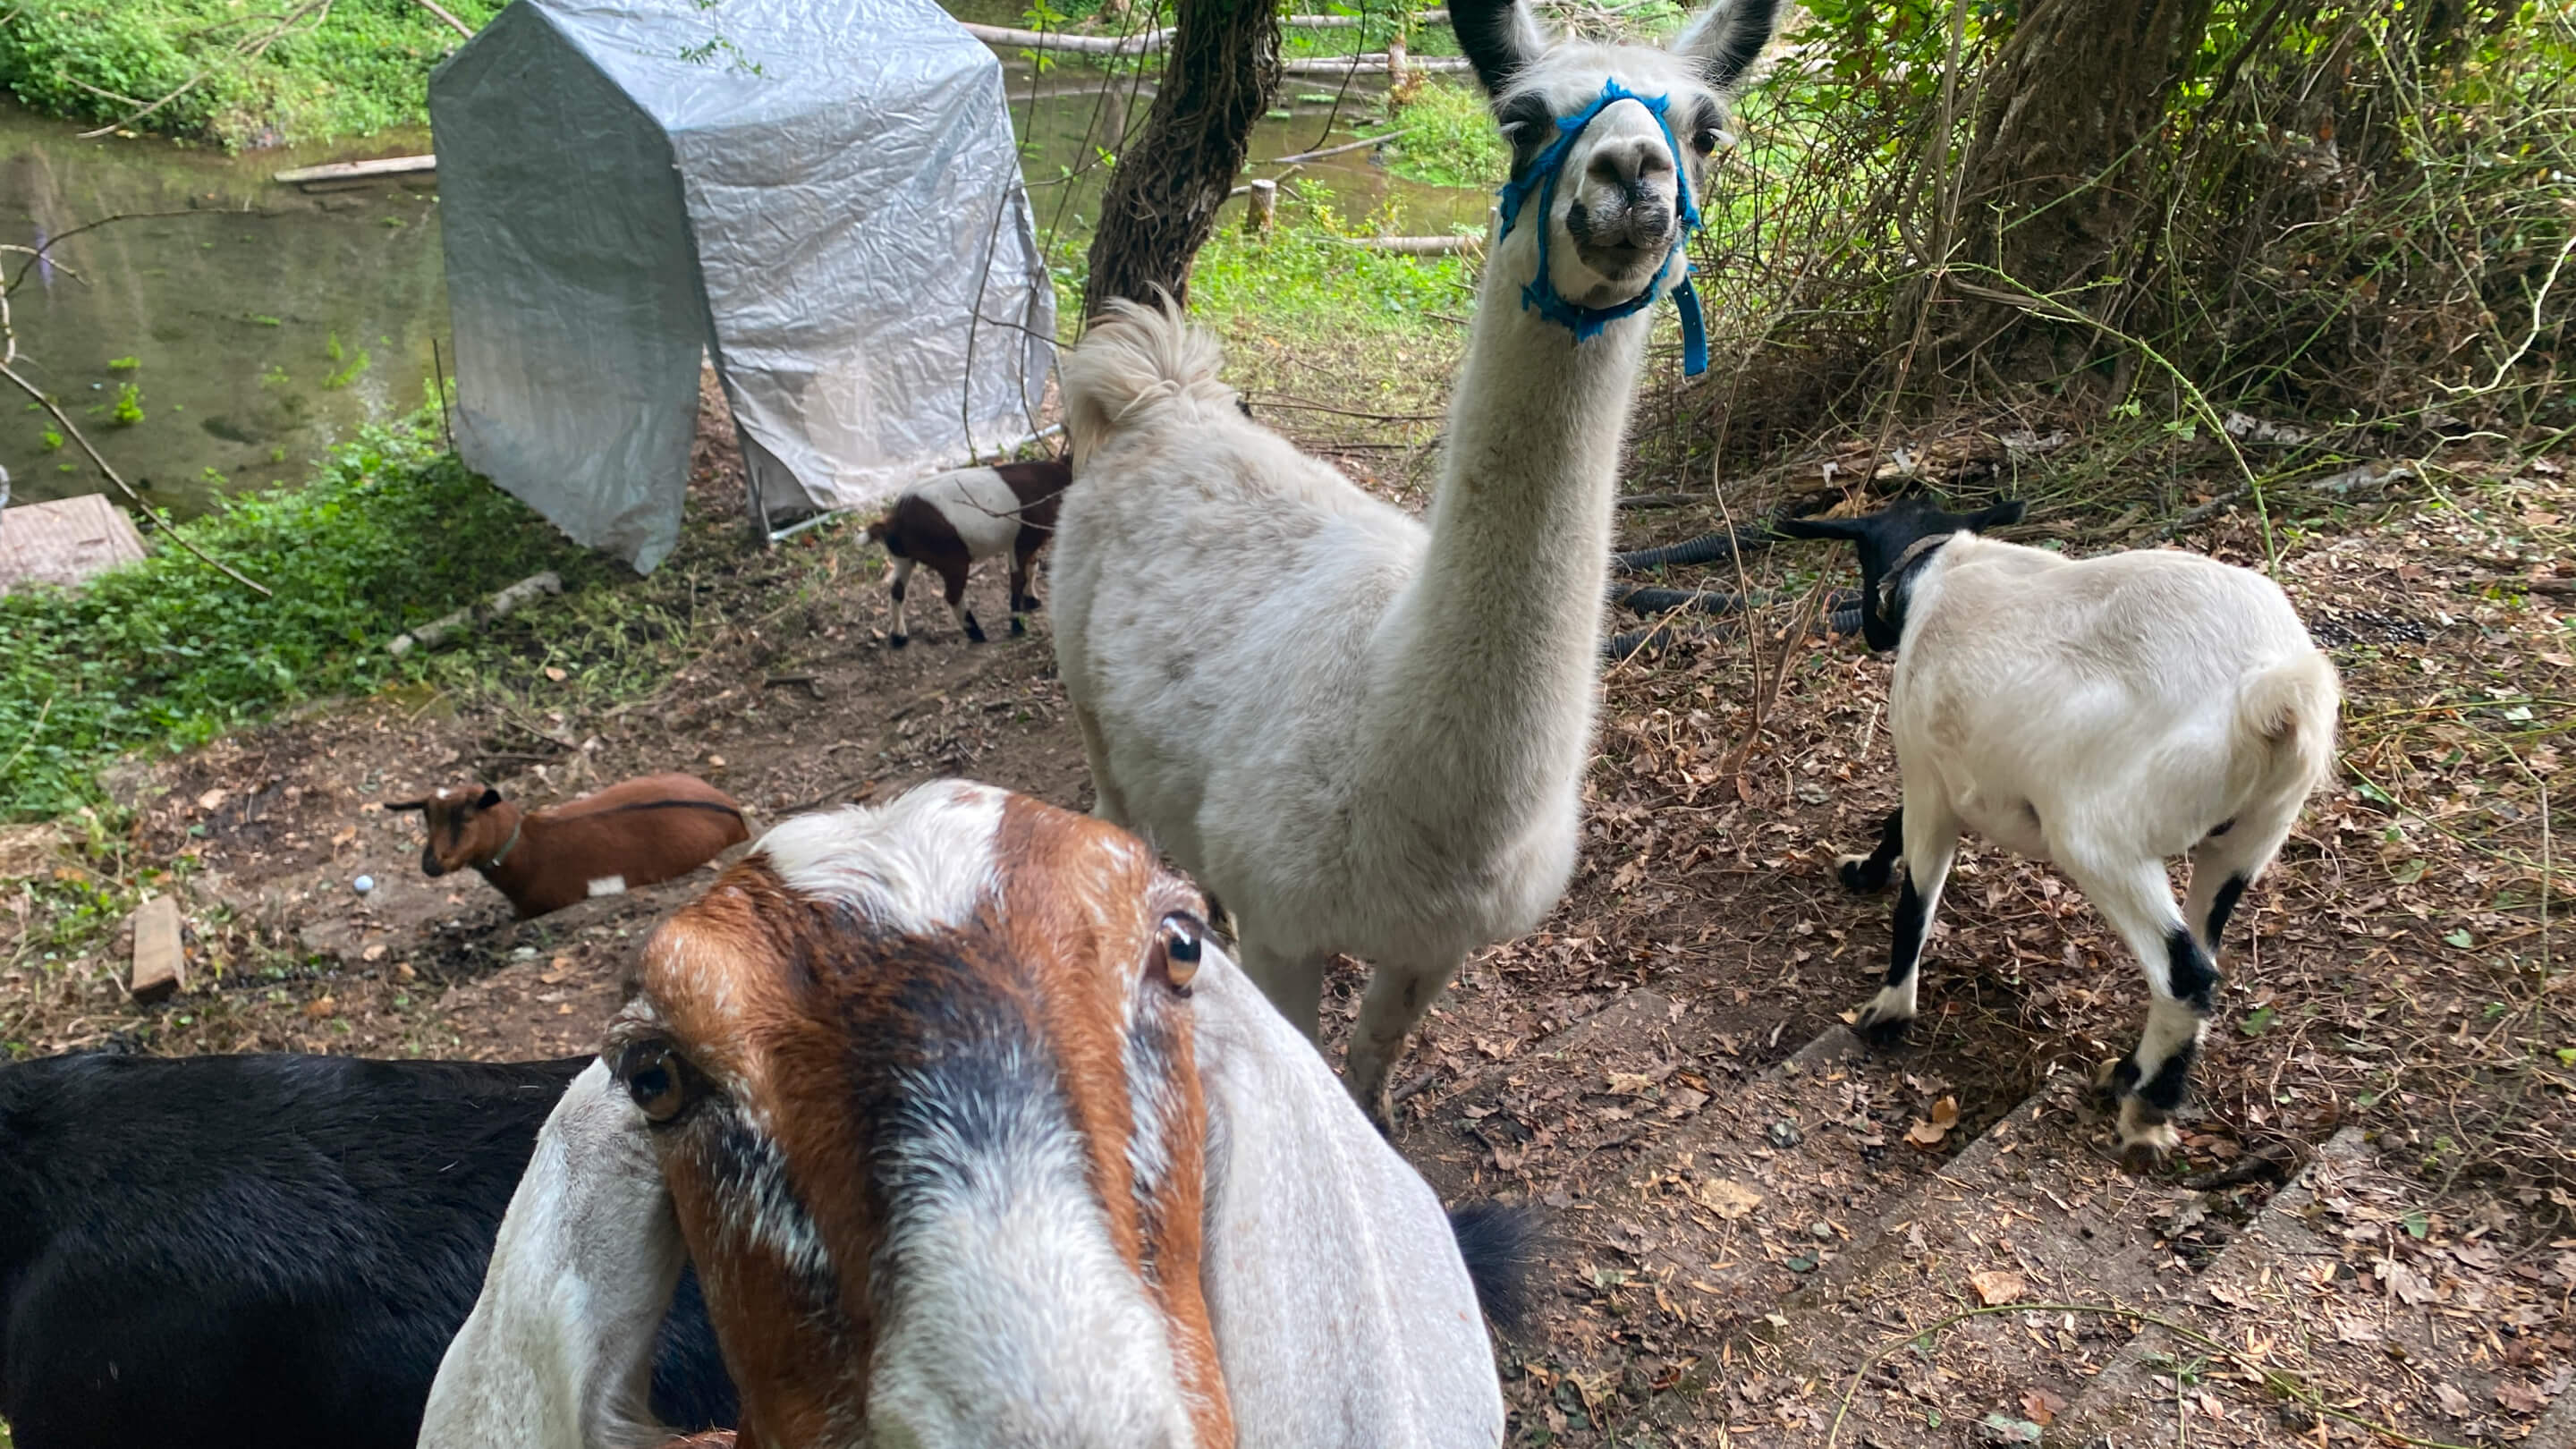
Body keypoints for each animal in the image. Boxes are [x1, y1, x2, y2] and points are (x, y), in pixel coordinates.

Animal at [862, 460, 1069, 647]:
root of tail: (894, 521)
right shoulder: (1022, 540)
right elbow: (1018, 579)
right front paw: (1018, 625)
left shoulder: (1031, 541)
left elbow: (1032, 566)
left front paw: (1033, 601)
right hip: (952, 558)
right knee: (952, 595)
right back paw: (976, 633)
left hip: (903, 558)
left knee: (897, 590)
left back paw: (899, 637)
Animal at [1780, 498, 2341, 1163]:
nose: (1870, 633)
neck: (1946, 571)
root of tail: (2274, 695)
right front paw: (1865, 872)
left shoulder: (1928, 777)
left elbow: (1915, 900)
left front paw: (1889, 1009)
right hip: (2245, 841)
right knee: (2200, 952)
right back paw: (2129, 1073)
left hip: (2099, 840)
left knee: (2187, 974)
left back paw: (2147, 1115)